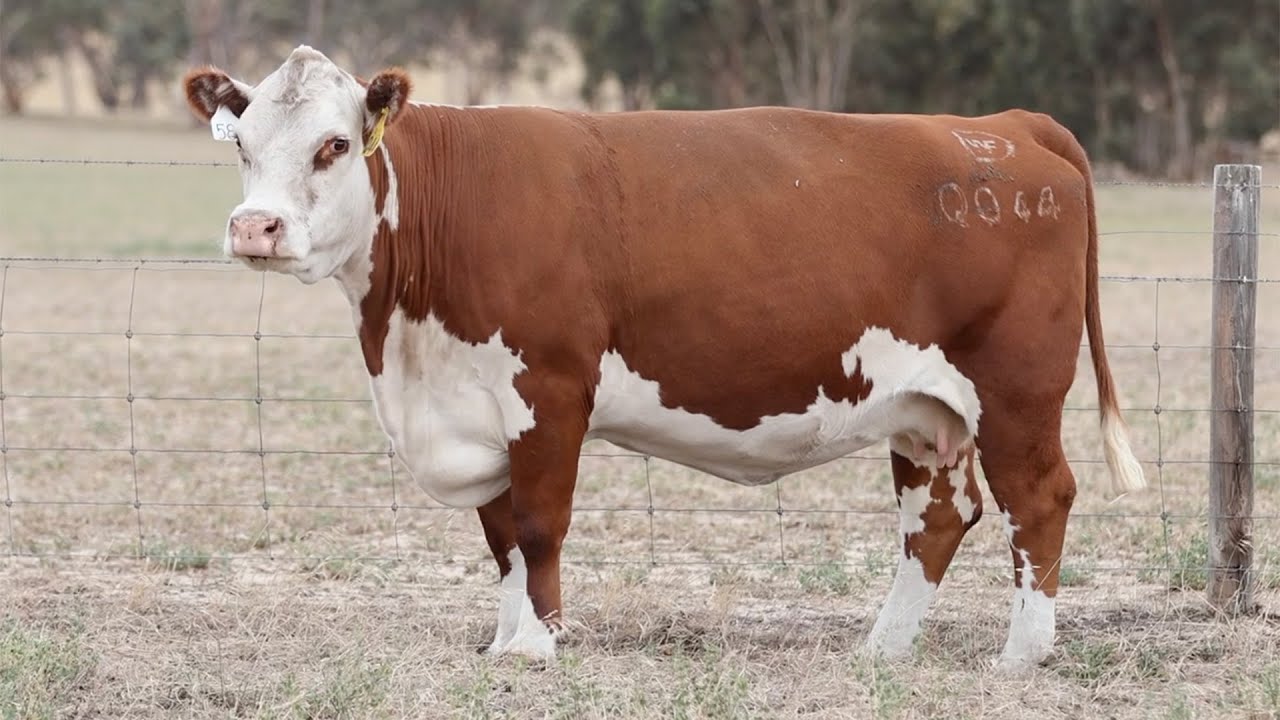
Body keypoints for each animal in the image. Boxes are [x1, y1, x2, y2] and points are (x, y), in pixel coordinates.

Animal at [182, 46, 1145, 671]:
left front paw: (539, 648)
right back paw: (880, 651)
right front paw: (504, 642)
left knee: (1039, 499)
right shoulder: (476, 409)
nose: (254, 228)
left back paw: (1020, 657)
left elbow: (538, 525)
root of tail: (1003, 126)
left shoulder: (548, 392)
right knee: (939, 516)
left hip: (1016, 391)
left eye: (335, 145)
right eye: (242, 147)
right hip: (922, 409)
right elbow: (499, 538)